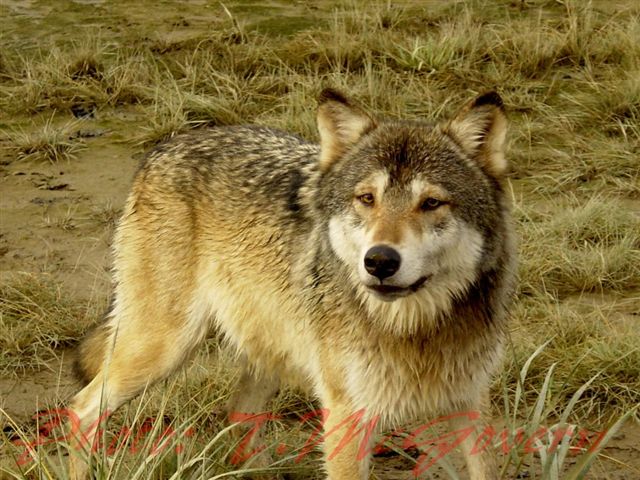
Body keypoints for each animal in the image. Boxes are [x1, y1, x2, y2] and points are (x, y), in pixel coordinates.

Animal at [69, 88, 516, 479]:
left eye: (431, 203)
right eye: (366, 199)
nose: (379, 261)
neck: (415, 329)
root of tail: (163, 149)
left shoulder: (472, 402)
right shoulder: (347, 417)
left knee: (238, 423)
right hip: (163, 348)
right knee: (80, 409)